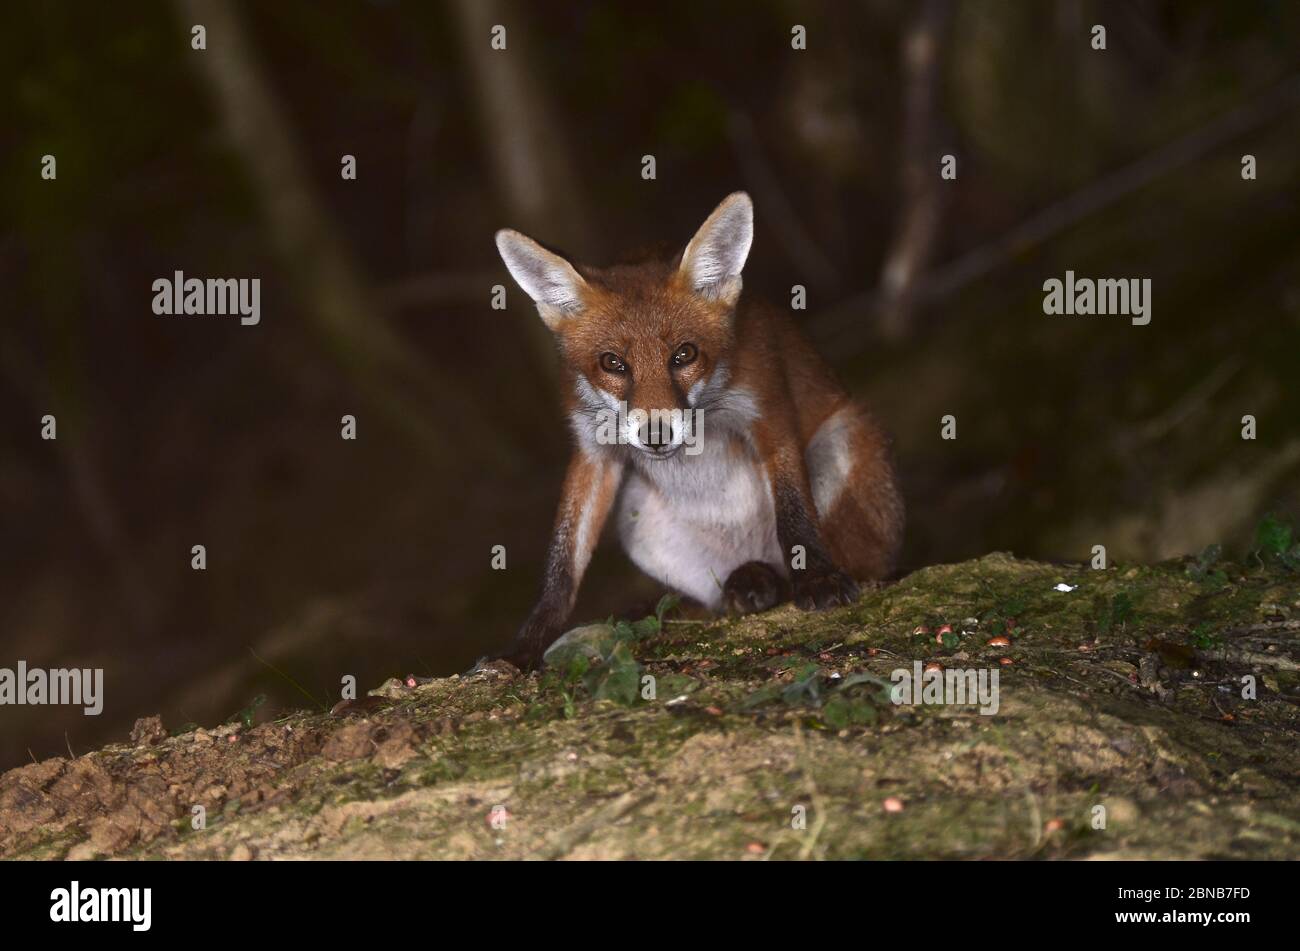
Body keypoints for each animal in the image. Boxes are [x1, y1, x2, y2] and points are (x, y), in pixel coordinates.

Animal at [492, 191, 903, 670]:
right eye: (613, 363)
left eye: (684, 354)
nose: (655, 434)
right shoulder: (593, 449)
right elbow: (562, 567)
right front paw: (524, 649)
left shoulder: (768, 410)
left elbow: (794, 517)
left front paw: (817, 580)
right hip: (637, 517)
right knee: (712, 602)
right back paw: (732, 589)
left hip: (841, 444)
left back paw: (777, 583)